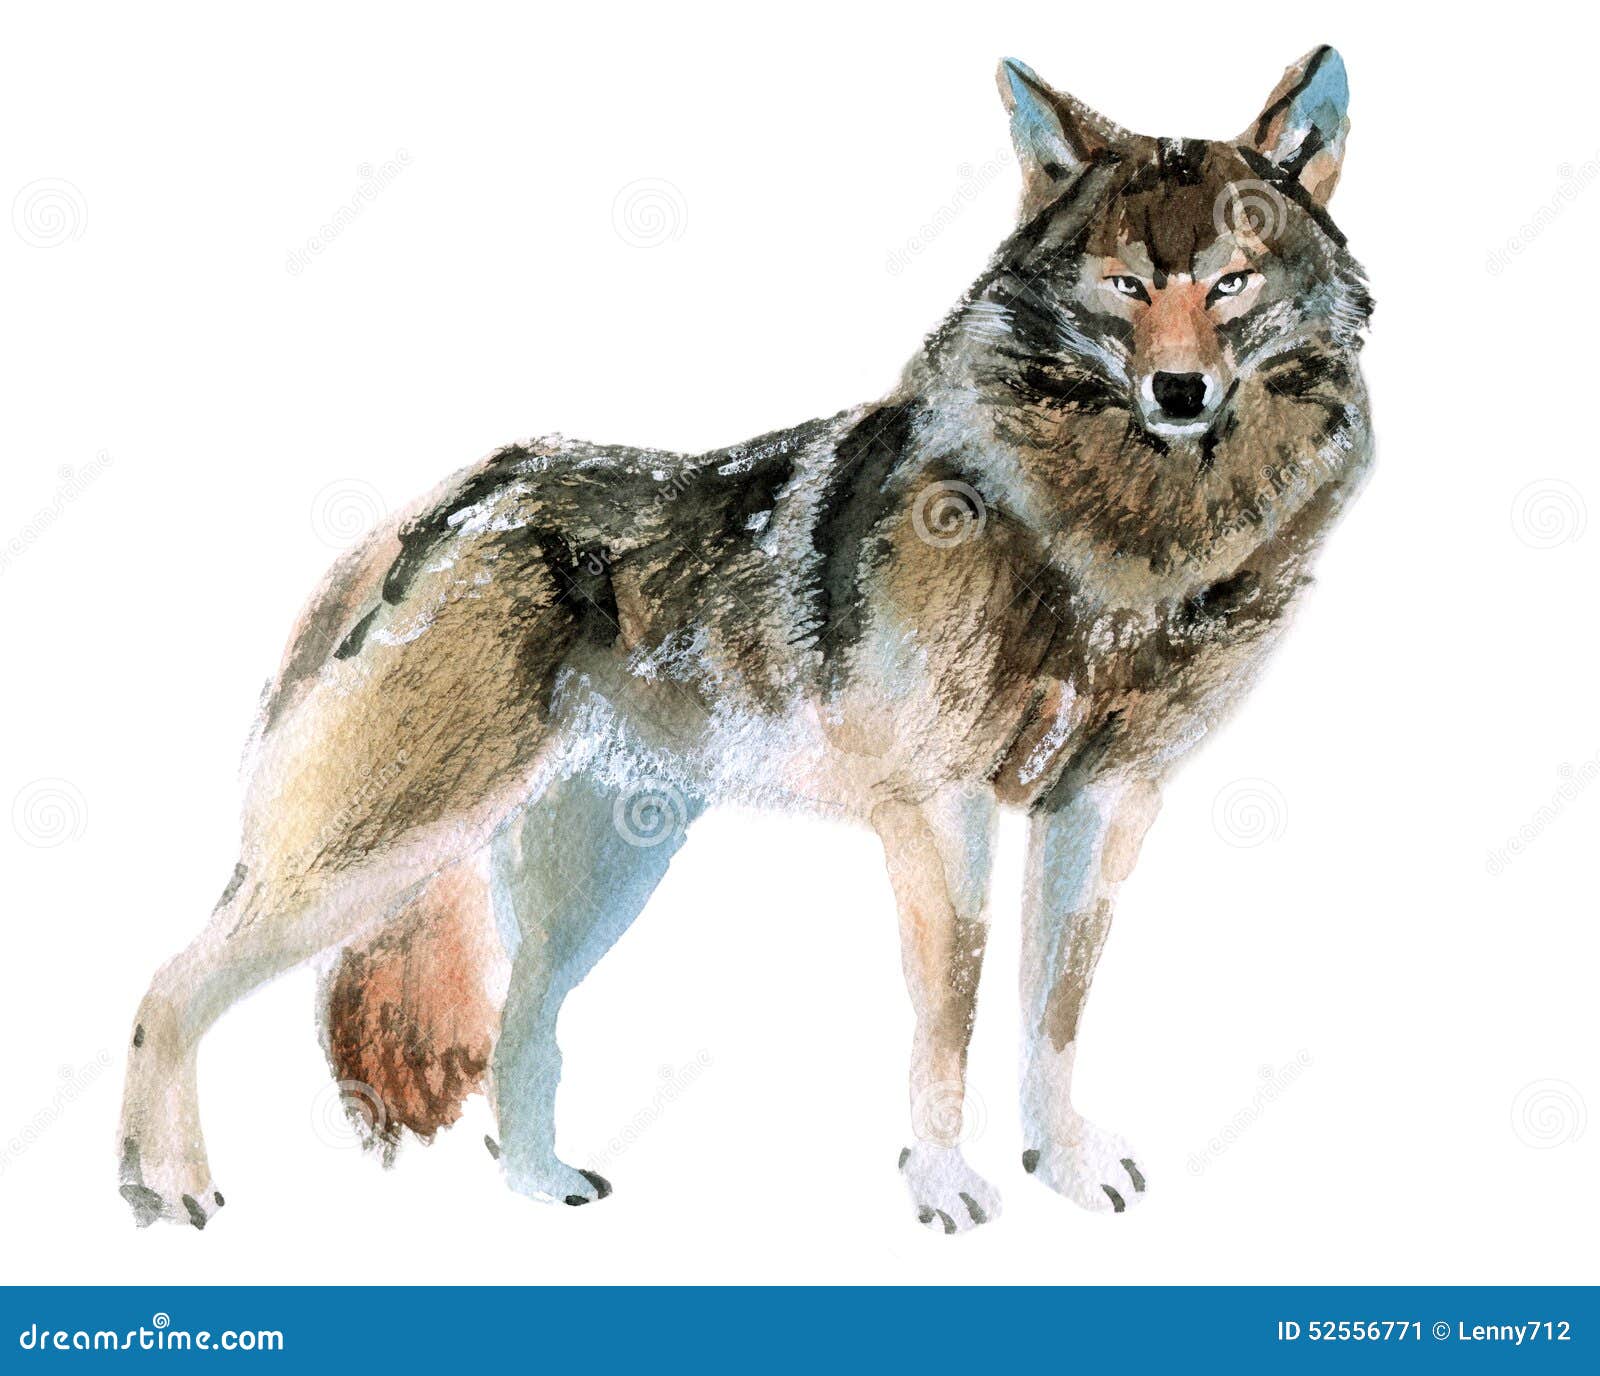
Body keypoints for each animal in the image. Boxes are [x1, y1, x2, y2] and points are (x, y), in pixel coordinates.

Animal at [118, 46, 1371, 1233]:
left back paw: (542, 1188)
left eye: (1229, 283)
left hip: (601, 875)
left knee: (519, 1029)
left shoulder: (1106, 803)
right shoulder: (941, 812)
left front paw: (1065, 1166)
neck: (1113, 538)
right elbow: (950, 1024)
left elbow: (1052, 1015)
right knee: (167, 987)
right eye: (1125, 286)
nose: (1178, 389)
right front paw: (944, 1187)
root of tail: (443, 504)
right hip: (379, 850)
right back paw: (164, 1187)